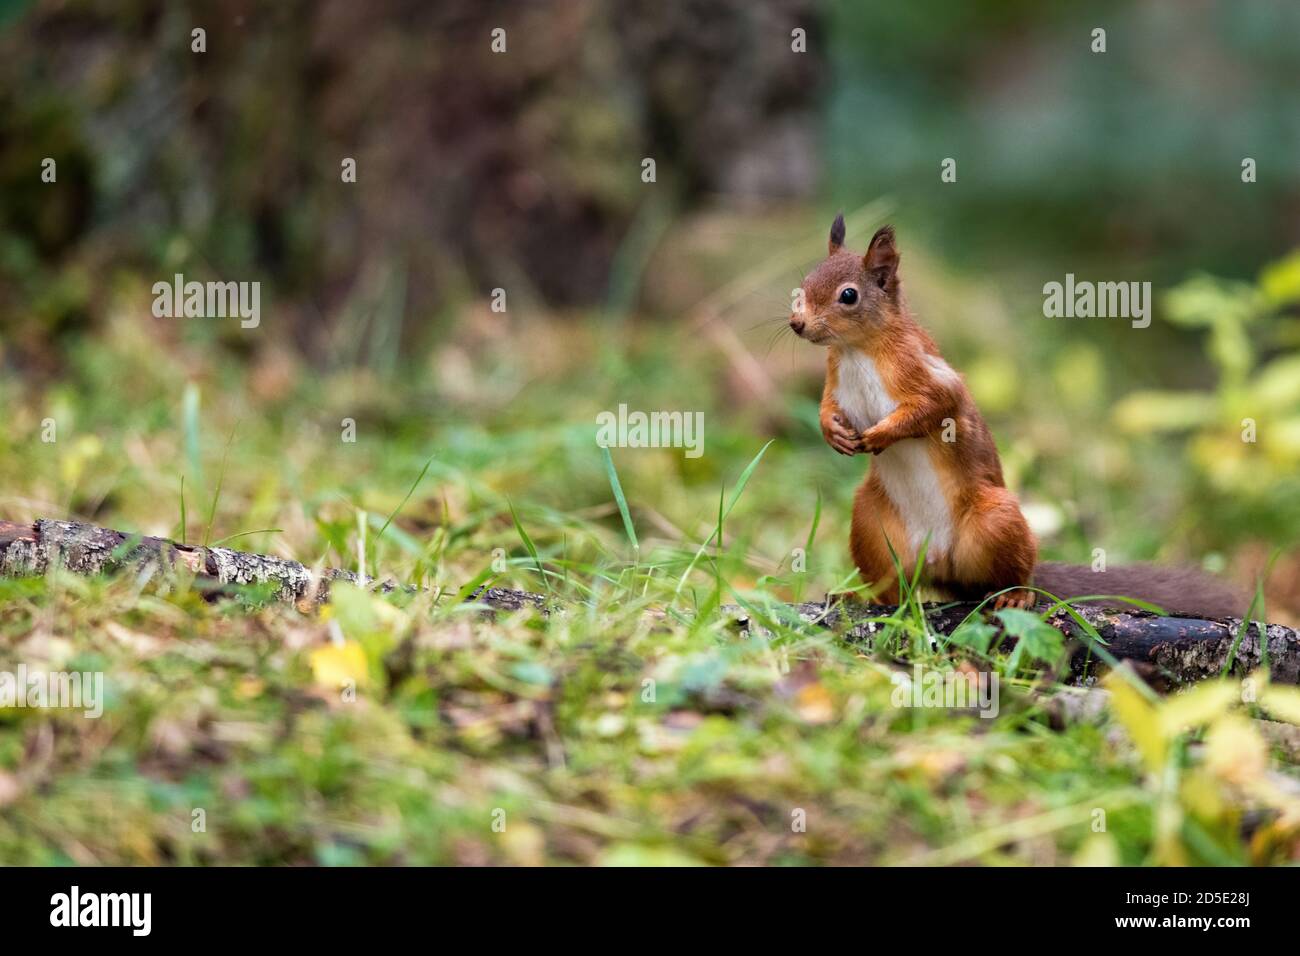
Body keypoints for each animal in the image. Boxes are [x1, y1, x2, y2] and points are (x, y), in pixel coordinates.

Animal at [789, 214, 1245, 619]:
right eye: (805, 283)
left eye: (849, 295)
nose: (796, 323)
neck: (857, 350)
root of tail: (936, 560)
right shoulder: (835, 383)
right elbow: (827, 407)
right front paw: (833, 432)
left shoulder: (929, 376)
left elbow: (931, 408)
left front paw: (882, 434)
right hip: (871, 525)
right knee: (893, 588)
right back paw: (862, 597)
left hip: (996, 520)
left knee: (1011, 574)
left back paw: (1017, 596)